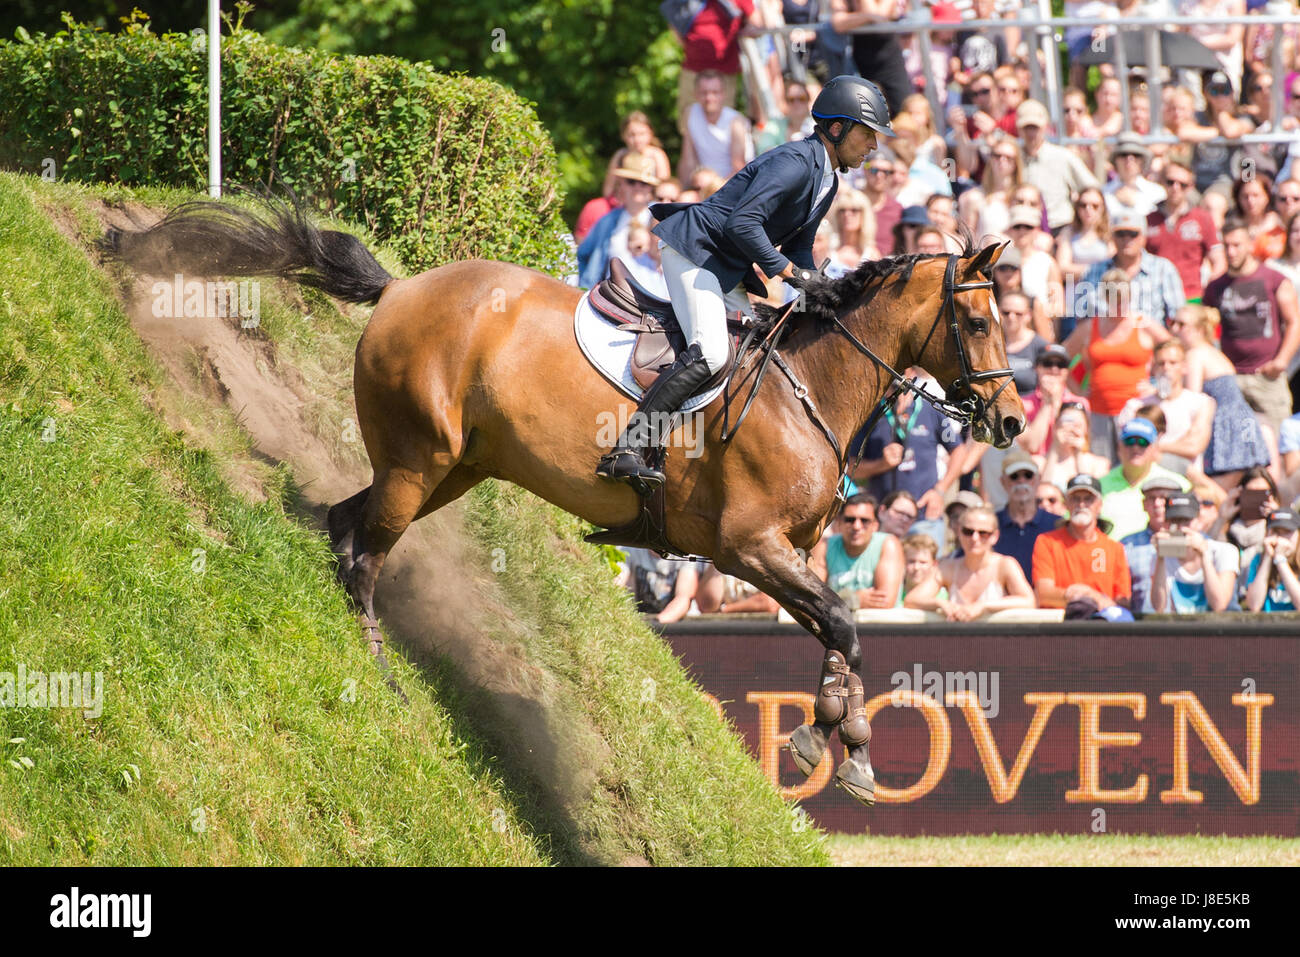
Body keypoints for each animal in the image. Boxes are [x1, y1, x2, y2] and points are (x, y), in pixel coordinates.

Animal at [105, 197, 1024, 806]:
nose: (1013, 418)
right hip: (419, 460)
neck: (809, 386)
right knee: (365, 550)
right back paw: (381, 678)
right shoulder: (747, 547)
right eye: (980, 324)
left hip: (450, 468)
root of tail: (401, 288)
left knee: (345, 525)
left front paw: (845, 743)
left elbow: (843, 627)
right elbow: (842, 620)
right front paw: (827, 737)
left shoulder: (785, 553)